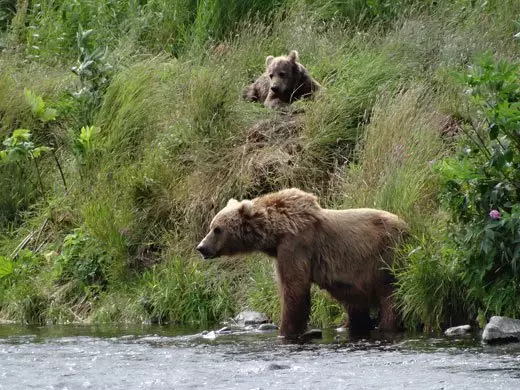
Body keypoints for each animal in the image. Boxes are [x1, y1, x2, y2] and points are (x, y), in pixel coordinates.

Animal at [197, 188, 408, 338]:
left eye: (217, 229)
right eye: (211, 226)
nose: (201, 247)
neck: (276, 232)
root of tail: (406, 225)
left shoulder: (296, 245)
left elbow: (294, 288)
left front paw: (287, 330)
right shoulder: (280, 252)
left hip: (384, 256)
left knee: (390, 294)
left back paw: (387, 324)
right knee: (356, 304)